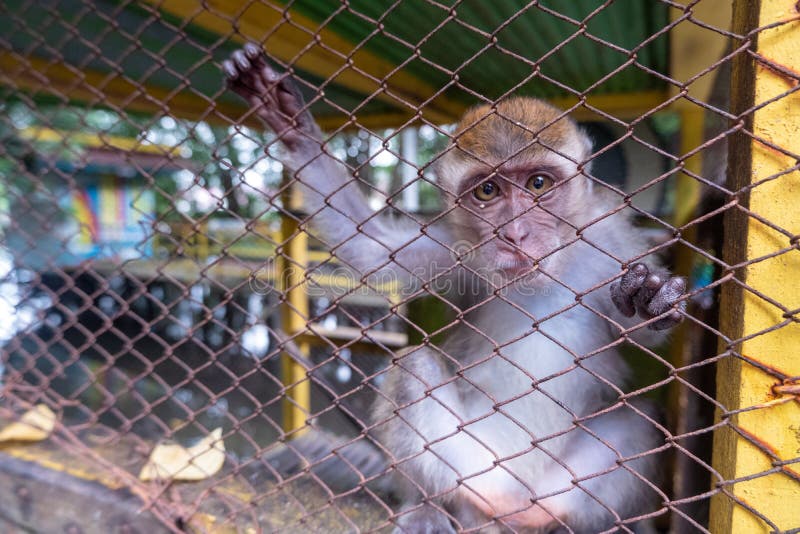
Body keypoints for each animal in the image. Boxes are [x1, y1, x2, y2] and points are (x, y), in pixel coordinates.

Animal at [224, 44, 686, 533]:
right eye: (488, 191)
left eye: (538, 183)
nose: (515, 234)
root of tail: (512, 503)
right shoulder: (456, 250)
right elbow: (370, 248)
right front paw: (293, 127)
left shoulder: (610, 240)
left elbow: (645, 334)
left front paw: (649, 301)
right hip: (473, 465)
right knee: (414, 370)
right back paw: (432, 505)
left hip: (562, 487)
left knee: (645, 419)